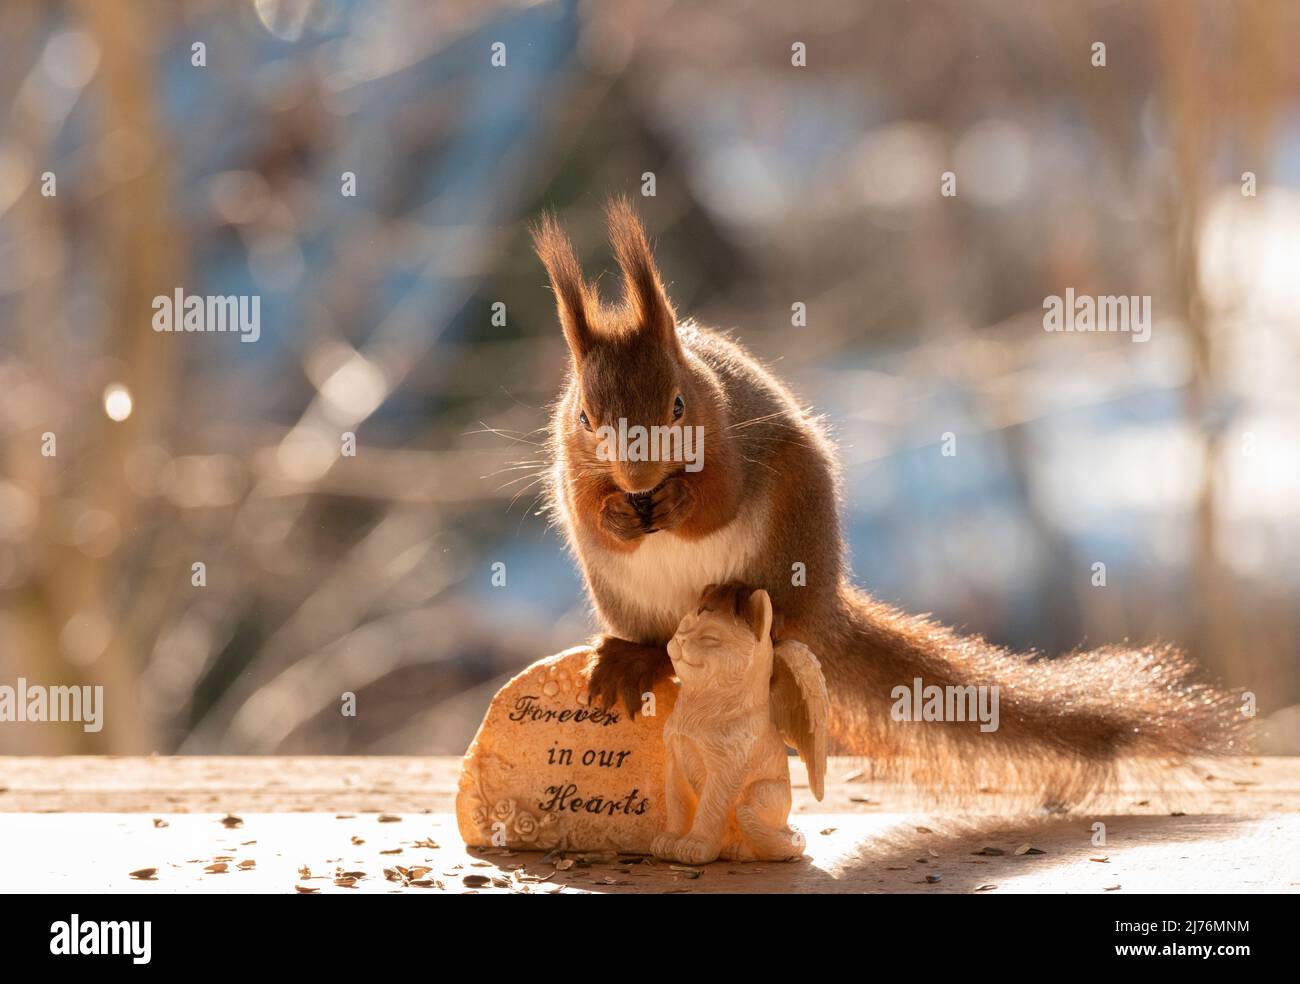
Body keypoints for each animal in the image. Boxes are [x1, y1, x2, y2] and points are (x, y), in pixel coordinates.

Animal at [533, 196, 1245, 802]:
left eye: (679, 405)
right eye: (587, 418)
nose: (638, 481)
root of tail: (827, 610)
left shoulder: (730, 433)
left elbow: (719, 497)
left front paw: (679, 502)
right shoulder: (570, 464)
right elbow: (587, 507)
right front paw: (616, 513)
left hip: (791, 537)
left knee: (776, 625)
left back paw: (726, 606)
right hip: (624, 596)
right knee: (661, 646)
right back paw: (632, 657)